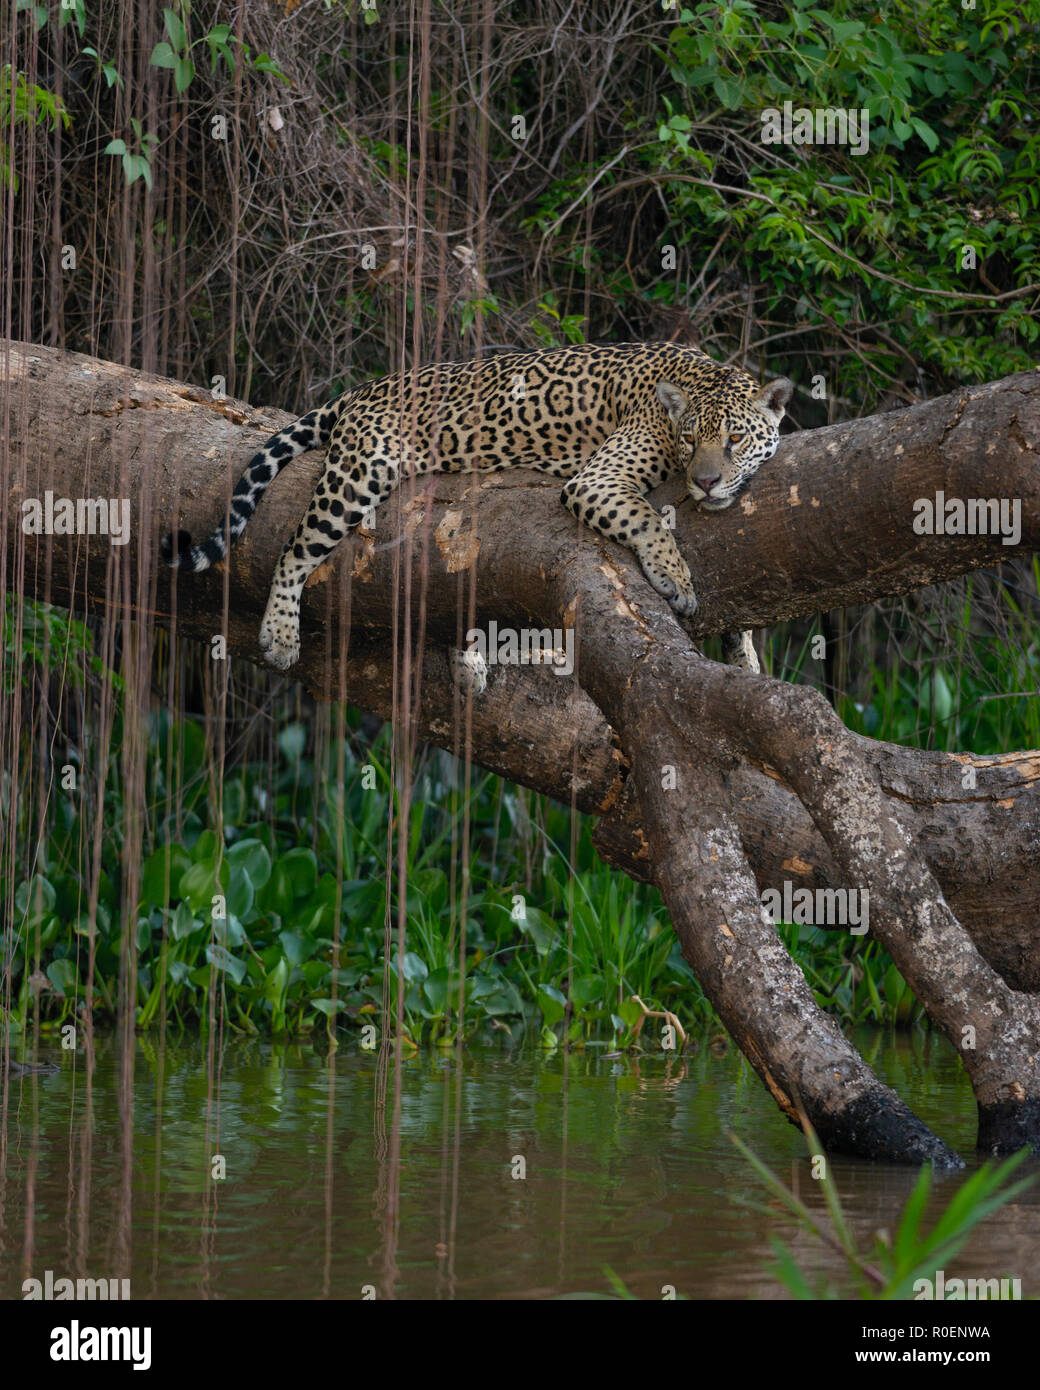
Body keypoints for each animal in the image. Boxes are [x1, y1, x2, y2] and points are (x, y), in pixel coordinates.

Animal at [161, 342, 793, 684]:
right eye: (689, 440)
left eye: (735, 438)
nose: (706, 481)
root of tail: (361, 390)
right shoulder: (596, 480)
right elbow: (646, 519)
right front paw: (675, 578)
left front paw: (746, 657)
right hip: (360, 473)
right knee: (294, 550)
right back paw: (281, 633)